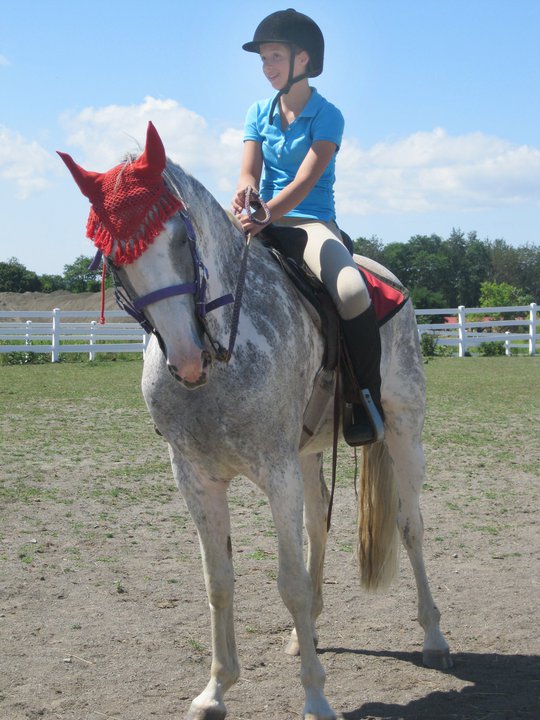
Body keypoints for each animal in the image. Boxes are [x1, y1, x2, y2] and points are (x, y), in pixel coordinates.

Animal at [59, 122, 451, 720]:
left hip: (404, 433)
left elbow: (289, 582)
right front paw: (216, 690)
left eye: (181, 238)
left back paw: (433, 637)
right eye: (113, 256)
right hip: (309, 454)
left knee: (411, 527)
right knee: (318, 527)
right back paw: (306, 634)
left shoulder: (275, 471)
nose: (188, 359)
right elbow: (219, 580)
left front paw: (315, 696)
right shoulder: (197, 478)